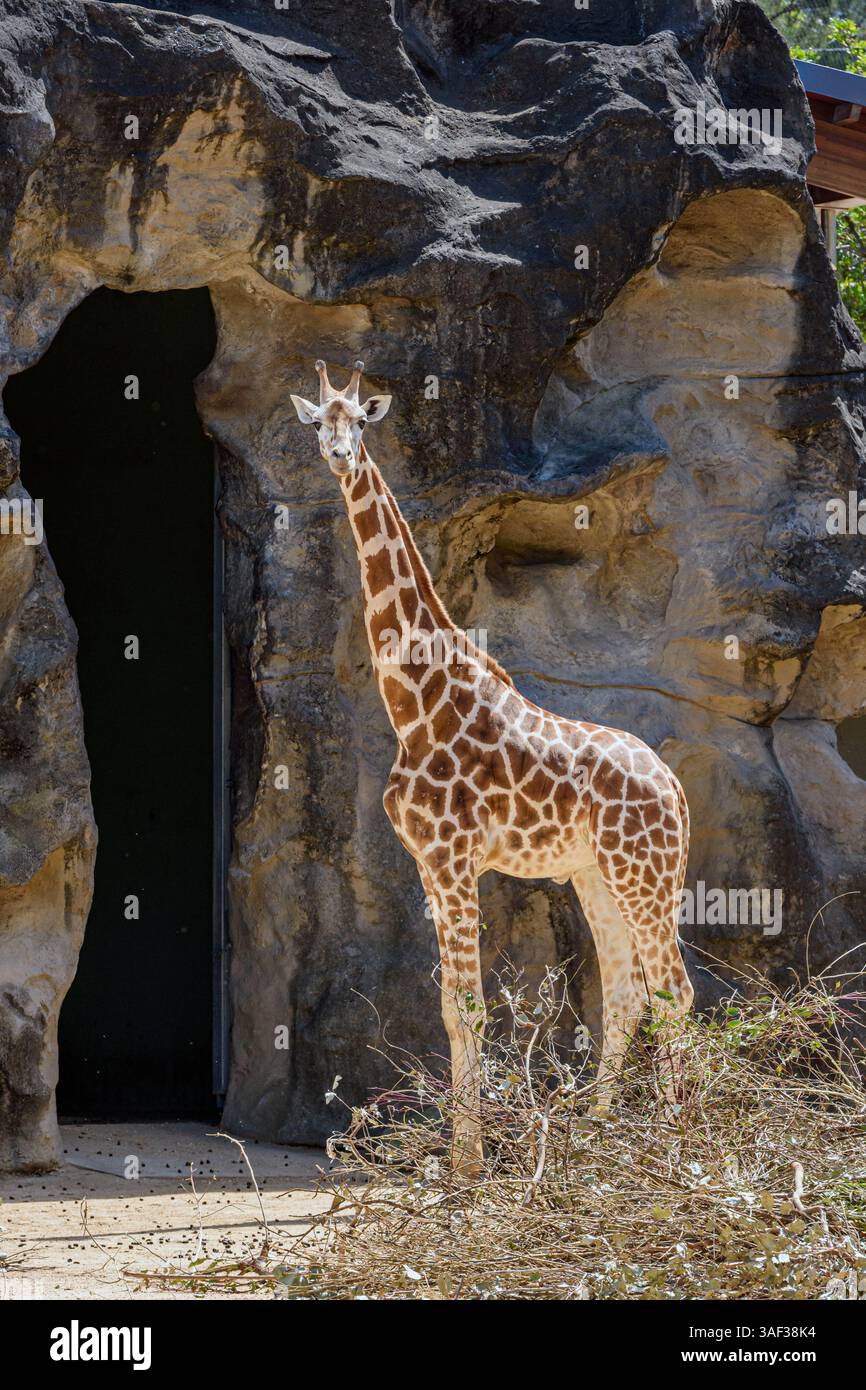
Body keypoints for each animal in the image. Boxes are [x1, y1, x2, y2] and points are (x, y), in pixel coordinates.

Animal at [291, 360, 694, 1170]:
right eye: (320, 422)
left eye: (362, 422)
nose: (341, 458)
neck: (416, 703)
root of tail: (673, 786)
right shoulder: (427, 863)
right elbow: (450, 1007)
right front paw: (459, 1160)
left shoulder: (455, 858)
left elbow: (471, 1008)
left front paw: (470, 1168)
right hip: (595, 874)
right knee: (631, 992)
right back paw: (600, 1141)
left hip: (646, 872)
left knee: (676, 992)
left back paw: (681, 1147)